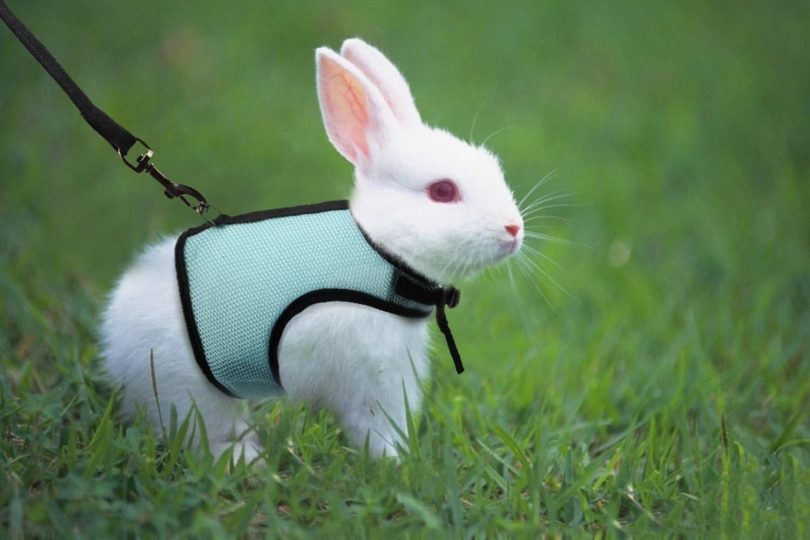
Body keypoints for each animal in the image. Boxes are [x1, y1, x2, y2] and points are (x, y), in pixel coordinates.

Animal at [100, 38, 524, 461]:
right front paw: (394, 463)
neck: (380, 251)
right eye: (443, 191)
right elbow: (375, 427)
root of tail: (114, 331)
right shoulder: (373, 377)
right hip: (191, 390)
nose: (514, 229)